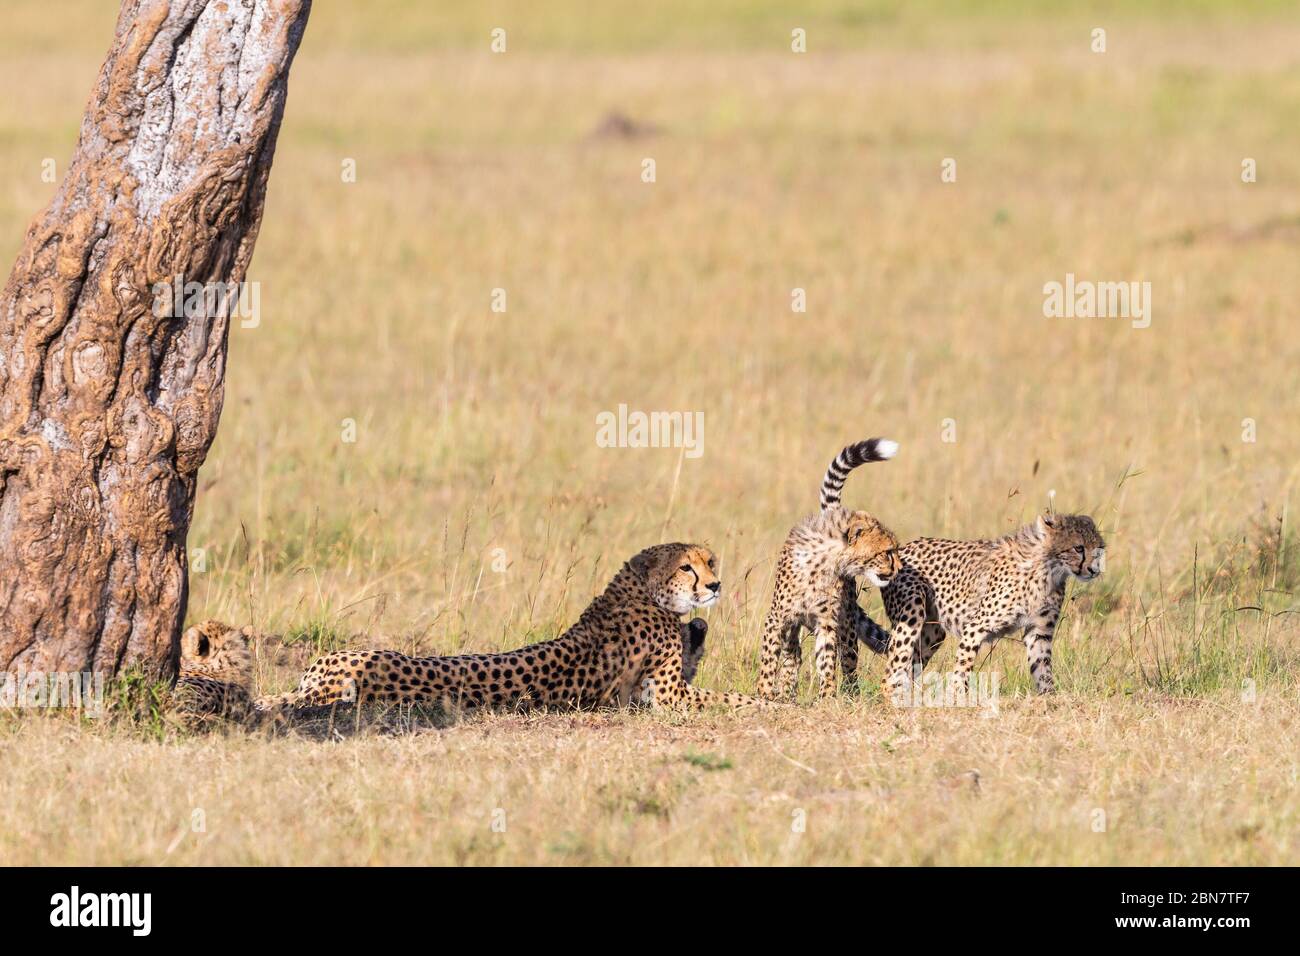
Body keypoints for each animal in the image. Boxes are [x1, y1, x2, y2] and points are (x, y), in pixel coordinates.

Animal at [254, 543, 764, 716]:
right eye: (687, 566)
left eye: (710, 561)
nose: (716, 584)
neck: (639, 589)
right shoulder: (667, 695)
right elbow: (729, 697)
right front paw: (769, 704)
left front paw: (698, 626)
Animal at [757, 438, 903, 700]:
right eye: (887, 552)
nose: (900, 568)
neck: (826, 563)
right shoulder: (778, 617)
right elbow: (769, 657)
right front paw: (764, 692)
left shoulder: (827, 622)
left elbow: (826, 659)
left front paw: (827, 696)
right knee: (793, 655)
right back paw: (786, 691)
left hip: (846, 625)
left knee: (847, 659)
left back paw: (850, 692)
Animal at [858, 513, 1106, 699]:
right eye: (1078, 548)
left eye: (1099, 548)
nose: (1094, 570)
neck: (1048, 569)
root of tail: (901, 549)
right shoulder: (975, 627)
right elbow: (963, 667)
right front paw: (959, 698)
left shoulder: (1039, 631)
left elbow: (1042, 667)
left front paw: (1049, 699)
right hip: (912, 613)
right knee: (890, 673)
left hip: (932, 632)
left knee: (908, 667)